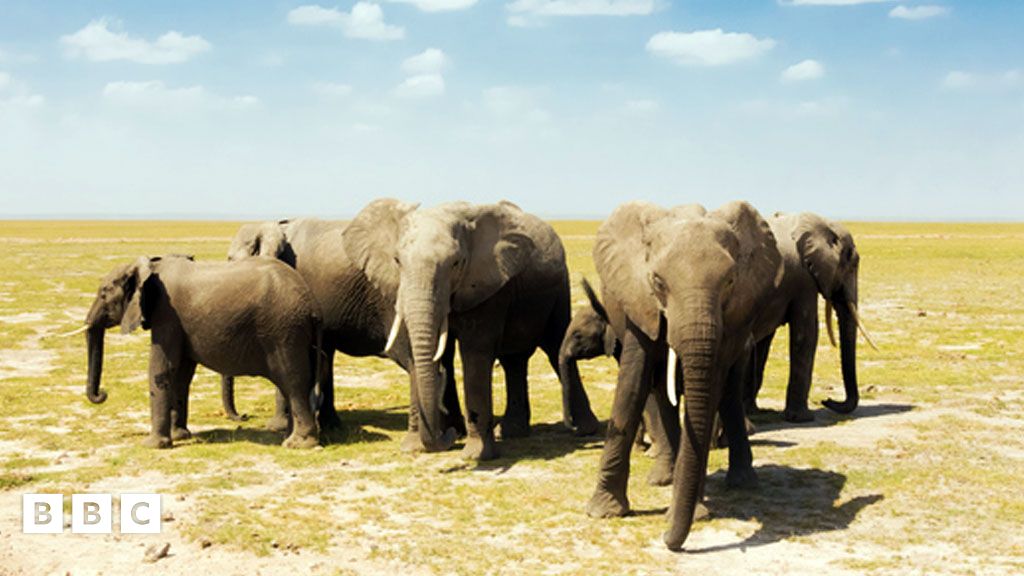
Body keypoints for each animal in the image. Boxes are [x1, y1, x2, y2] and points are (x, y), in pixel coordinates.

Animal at [80, 255, 322, 449]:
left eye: (103, 294)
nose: (102, 394)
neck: (150, 266)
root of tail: (312, 305)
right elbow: (181, 374)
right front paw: (180, 436)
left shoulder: (167, 315)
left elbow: (161, 368)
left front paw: (152, 445)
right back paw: (290, 436)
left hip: (285, 332)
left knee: (293, 382)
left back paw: (298, 444)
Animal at [221, 217, 467, 440]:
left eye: (230, 260)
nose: (243, 416)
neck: (274, 226)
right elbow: (324, 359)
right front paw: (331, 426)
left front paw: (278, 427)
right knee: (444, 359)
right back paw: (455, 432)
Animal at [343, 199, 599, 459]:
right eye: (397, 261)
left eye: (456, 263)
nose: (448, 436)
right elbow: (427, 353)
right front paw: (414, 447)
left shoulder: (489, 284)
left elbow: (475, 352)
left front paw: (475, 455)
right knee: (513, 360)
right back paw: (510, 432)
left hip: (560, 287)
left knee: (555, 344)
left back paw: (585, 430)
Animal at [584, 200, 783, 551]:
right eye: (658, 281)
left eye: (730, 281)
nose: (667, 540)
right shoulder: (640, 302)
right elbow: (633, 384)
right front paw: (604, 512)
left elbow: (711, 389)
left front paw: (696, 513)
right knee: (660, 392)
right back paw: (664, 478)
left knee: (728, 397)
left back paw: (740, 483)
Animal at [745, 212, 876, 421]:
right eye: (852, 263)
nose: (826, 400)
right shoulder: (804, 280)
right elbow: (807, 333)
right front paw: (801, 418)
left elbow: (764, 340)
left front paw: (756, 413)